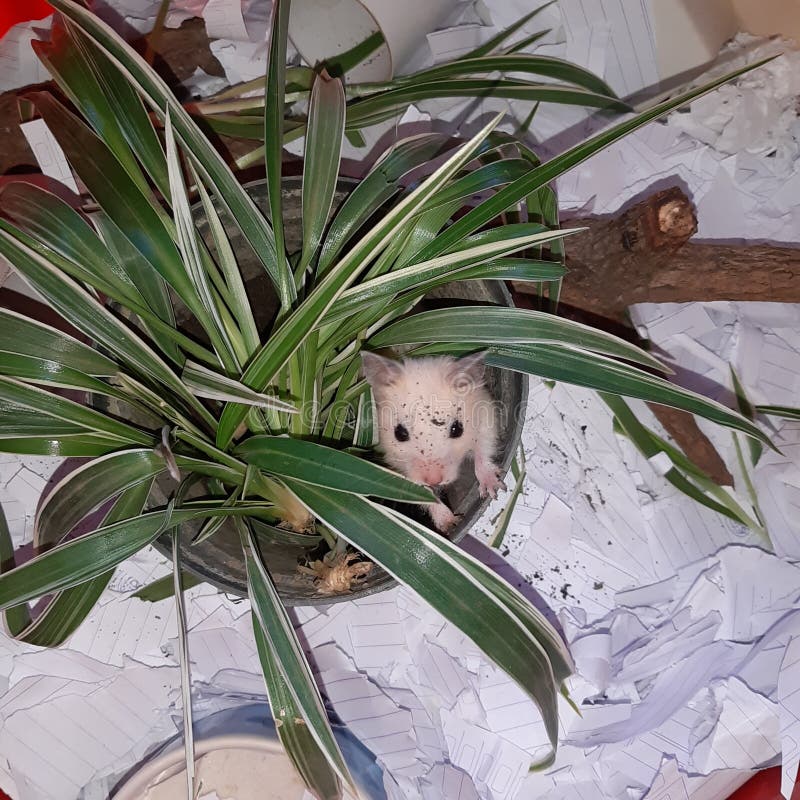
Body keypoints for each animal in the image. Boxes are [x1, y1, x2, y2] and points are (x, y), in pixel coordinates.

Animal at [361, 351, 505, 532]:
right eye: (399, 434)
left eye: (457, 429)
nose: (434, 481)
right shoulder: (397, 462)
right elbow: (424, 493)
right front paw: (450, 524)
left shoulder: (486, 420)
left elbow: (482, 454)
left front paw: (494, 491)